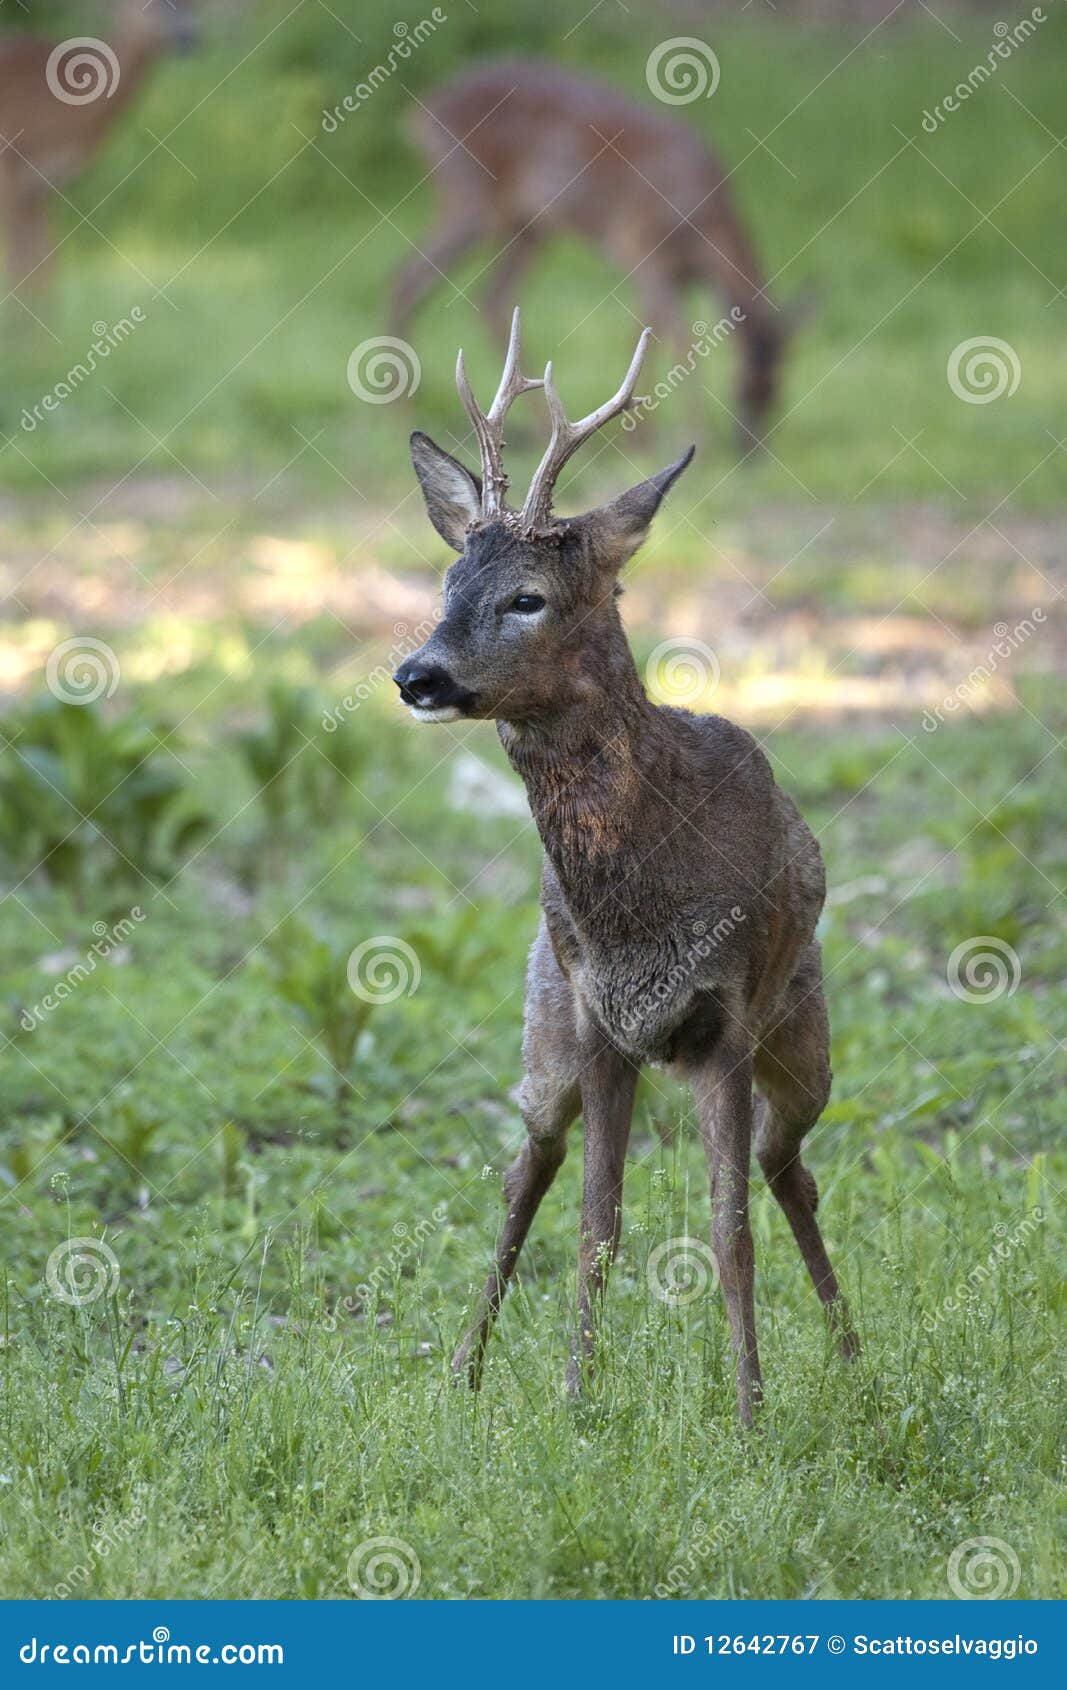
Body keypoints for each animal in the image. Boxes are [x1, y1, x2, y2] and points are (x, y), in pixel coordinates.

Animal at [0, 0, 197, 299]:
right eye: (153, 5)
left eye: (194, 5)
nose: (192, 39)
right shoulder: (10, 174)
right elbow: (22, 270)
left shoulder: (41, 190)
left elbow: (43, 270)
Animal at [393, 60, 807, 448]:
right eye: (744, 382)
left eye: (780, 389)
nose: (750, 448)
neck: (705, 233)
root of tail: (420, 113)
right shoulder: (641, 248)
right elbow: (679, 339)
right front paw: (692, 435)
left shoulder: (666, 271)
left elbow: (642, 332)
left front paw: (640, 437)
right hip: (470, 196)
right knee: (404, 279)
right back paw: (401, 414)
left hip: (528, 226)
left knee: (490, 298)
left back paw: (534, 428)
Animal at [394, 310, 857, 1427]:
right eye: (445, 586)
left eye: (526, 597)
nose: (416, 674)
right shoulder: (600, 1022)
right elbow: (595, 1222)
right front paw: (575, 1399)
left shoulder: (722, 1016)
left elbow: (727, 1226)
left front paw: (748, 1415)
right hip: (543, 1019)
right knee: (526, 1165)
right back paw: (464, 1368)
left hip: (805, 1030)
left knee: (788, 1167)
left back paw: (852, 1357)